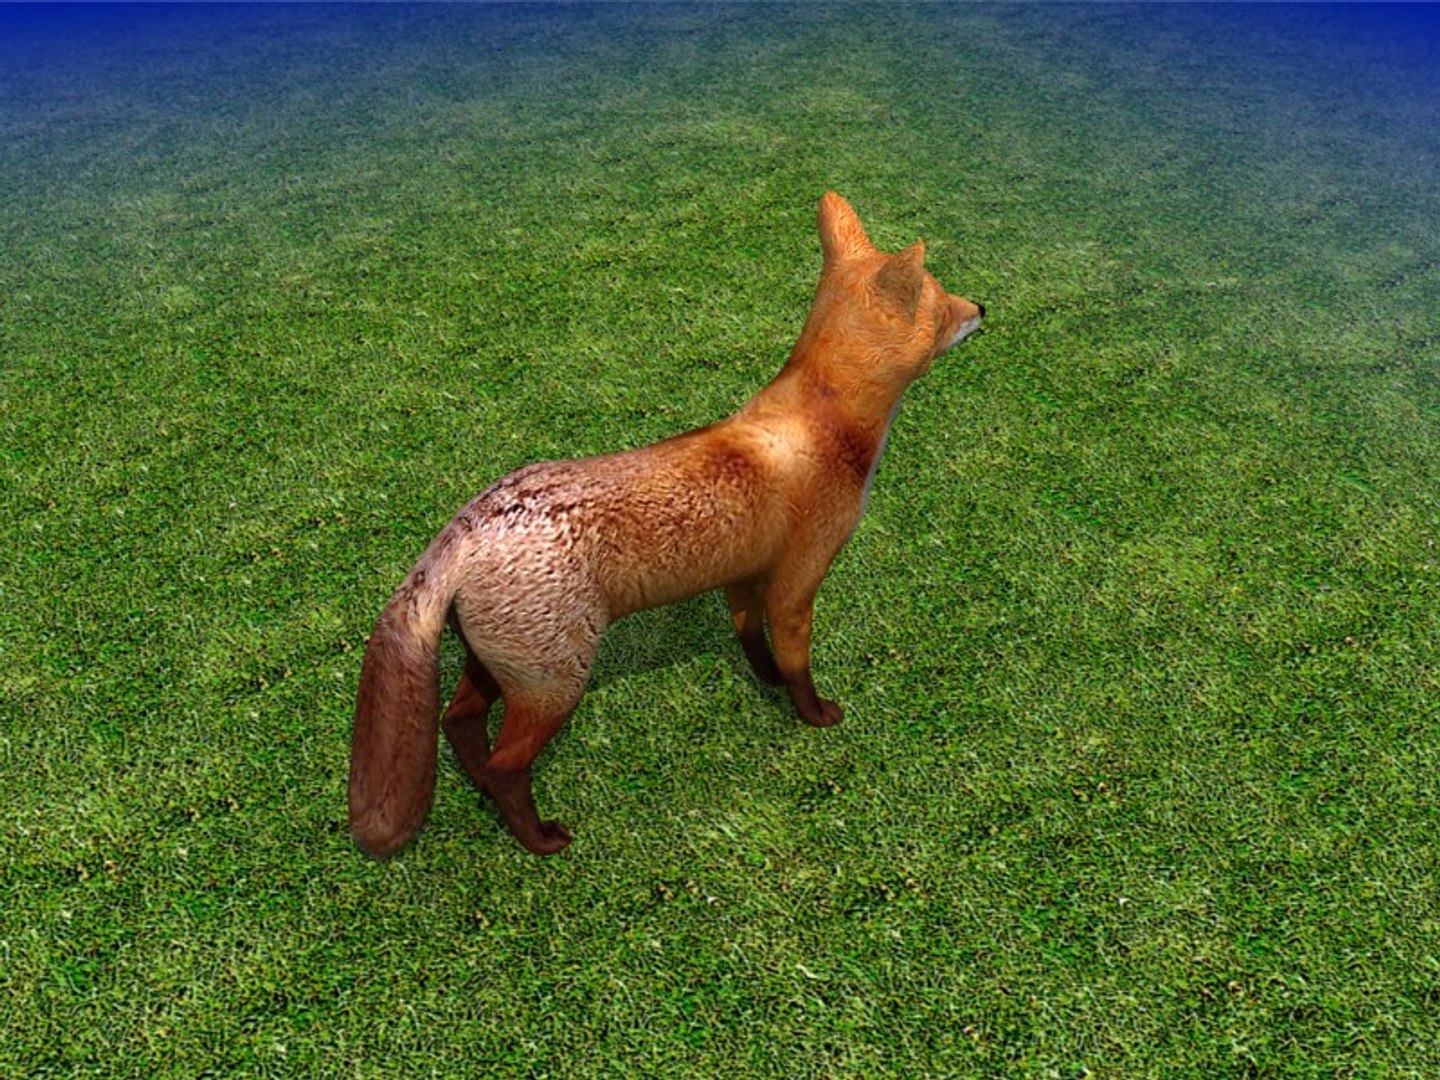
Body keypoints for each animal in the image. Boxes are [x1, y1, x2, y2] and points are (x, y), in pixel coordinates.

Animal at [349, 192, 984, 857]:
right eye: (941, 300)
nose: (983, 308)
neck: (827, 426)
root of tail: (468, 524)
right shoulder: (797, 583)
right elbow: (796, 665)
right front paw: (813, 716)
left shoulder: (743, 576)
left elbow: (751, 642)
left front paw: (764, 684)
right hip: (557, 681)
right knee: (505, 767)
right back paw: (539, 839)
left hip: (501, 668)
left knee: (457, 723)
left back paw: (478, 789)